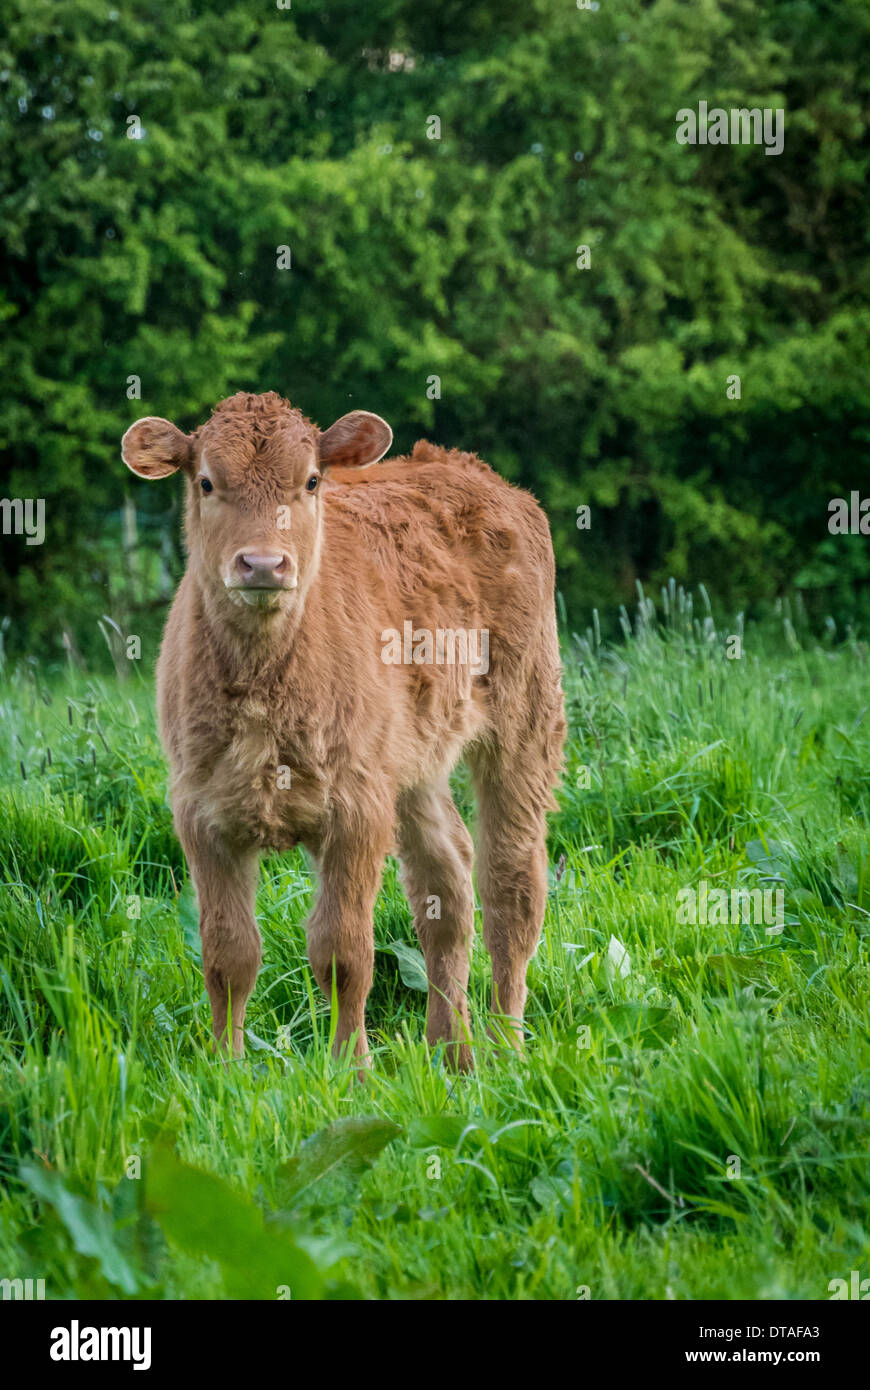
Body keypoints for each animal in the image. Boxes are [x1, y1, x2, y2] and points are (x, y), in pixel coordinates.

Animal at [121, 392, 565, 1070]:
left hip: (525, 723)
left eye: (310, 481)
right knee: (446, 888)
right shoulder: (201, 813)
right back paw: (451, 1052)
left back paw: (506, 1048)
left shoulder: (356, 810)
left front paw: (349, 1069)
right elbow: (227, 954)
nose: (263, 563)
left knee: (510, 890)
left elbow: (343, 954)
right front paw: (225, 1069)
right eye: (206, 482)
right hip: (412, 765)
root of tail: (469, 469)